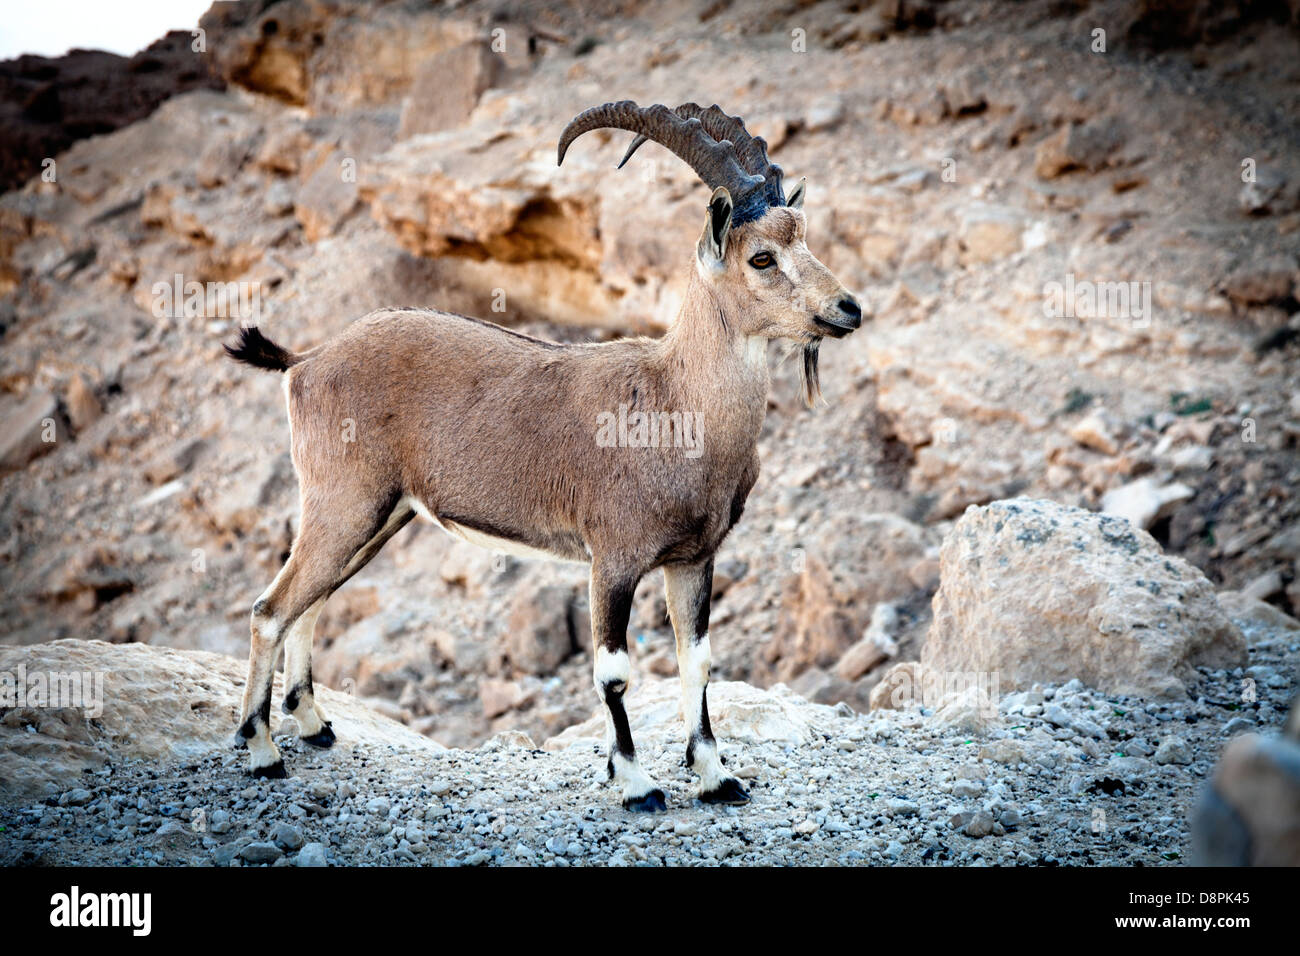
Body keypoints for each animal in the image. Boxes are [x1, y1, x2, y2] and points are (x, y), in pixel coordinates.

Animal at [224, 101, 863, 811]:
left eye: (803, 238)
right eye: (761, 257)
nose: (848, 308)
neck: (676, 403)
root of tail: (305, 361)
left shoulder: (694, 558)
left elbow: (696, 660)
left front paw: (717, 776)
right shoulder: (613, 559)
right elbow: (614, 673)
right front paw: (636, 783)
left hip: (380, 516)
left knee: (309, 603)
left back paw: (313, 726)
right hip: (343, 503)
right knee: (270, 609)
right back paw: (262, 751)